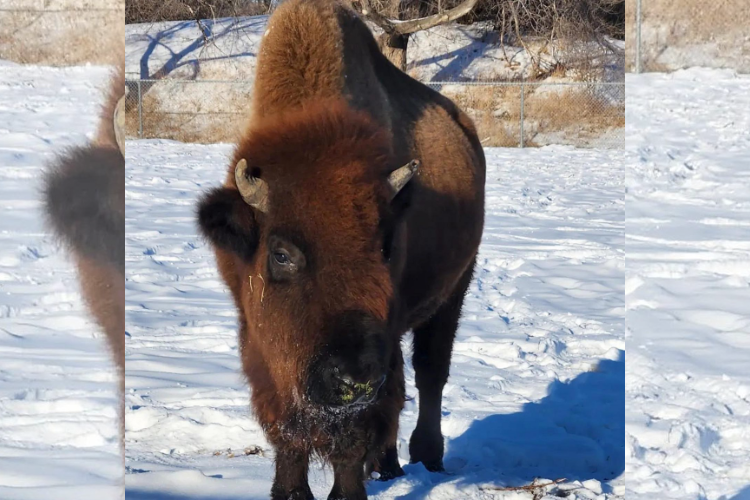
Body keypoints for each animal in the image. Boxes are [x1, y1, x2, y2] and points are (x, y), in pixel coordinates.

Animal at [197, 0, 485, 498]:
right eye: (281, 253)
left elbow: (356, 431)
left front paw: (348, 489)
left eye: (386, 246)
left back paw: (426, 456)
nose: (353, 377)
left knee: (430, 372)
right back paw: (387, 465)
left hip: (453, 291)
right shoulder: (266, 351)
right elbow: (286, 426)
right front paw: (289, 490)